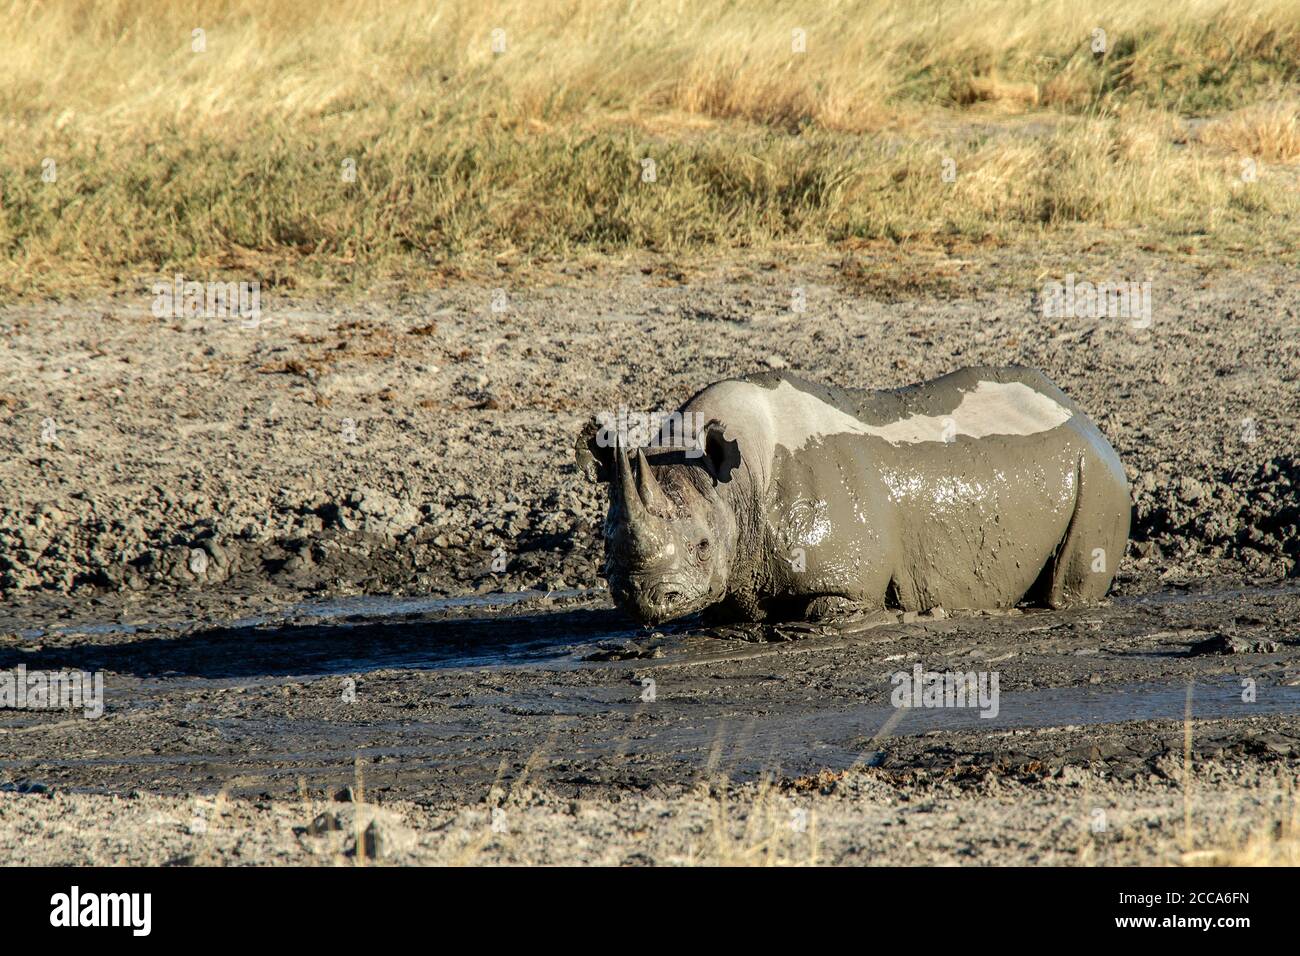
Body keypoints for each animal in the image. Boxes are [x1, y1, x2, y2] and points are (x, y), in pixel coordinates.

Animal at [576, 366, 1130, 625]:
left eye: (702, 547)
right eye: (605, 547)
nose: (642, 598)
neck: (736, 485)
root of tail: (1081, 412)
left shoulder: (848, 580)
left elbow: (827, 609)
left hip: (1097, 474)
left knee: (1070, 582)